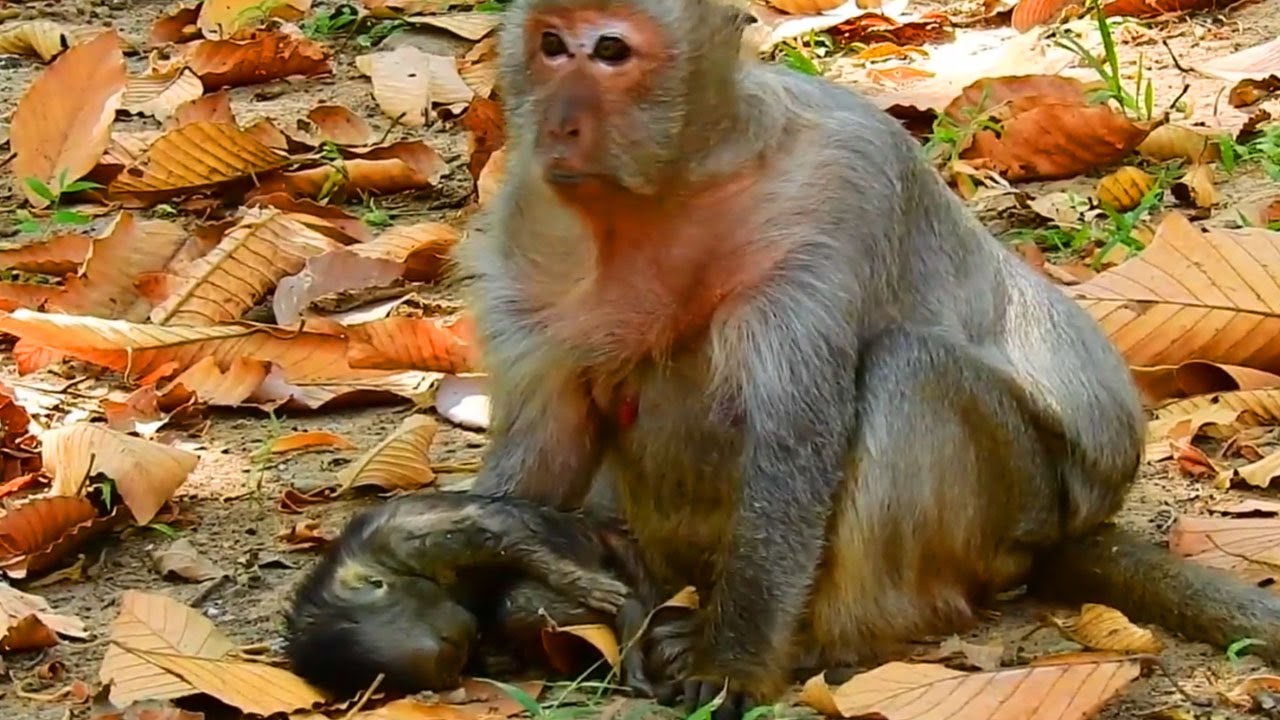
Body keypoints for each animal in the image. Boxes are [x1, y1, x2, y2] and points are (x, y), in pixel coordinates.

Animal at [282, 491, 675, 698]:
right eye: (450, 668)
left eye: (447, 643)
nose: (468, 634)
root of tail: (587, 526)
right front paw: (492, 658)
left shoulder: (402, 539)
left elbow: (496, 533)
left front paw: (581, 583)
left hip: (578, 545)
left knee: (518, 602)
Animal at [449, 0, 1280, 717]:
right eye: (552, 45)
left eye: (611, 50)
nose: (560, 123)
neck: (675, 182)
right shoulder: (527, 222)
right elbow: (550, 445)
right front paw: (473, 560)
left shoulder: (832, 195)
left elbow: (795, 443)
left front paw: (733, 661)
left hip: (1017, 512)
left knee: (906, 369)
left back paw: (837, 636)